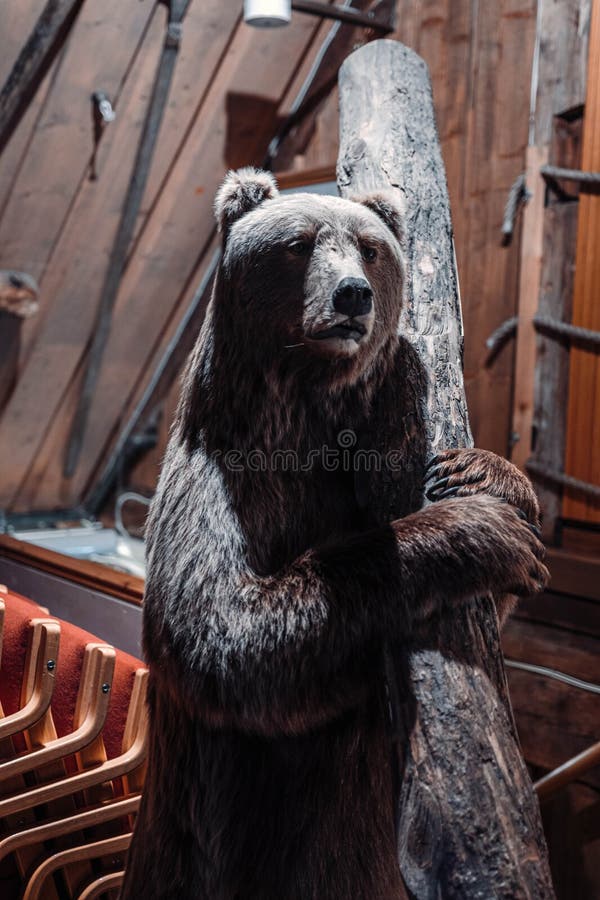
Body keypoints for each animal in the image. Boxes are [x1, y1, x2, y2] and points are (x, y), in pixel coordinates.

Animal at [120, 168, 547, 900]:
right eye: (299, 243)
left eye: (370, 249)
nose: (353, 295)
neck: (303, 407)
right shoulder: (218, 486)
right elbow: (223, 631)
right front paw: (485, 530)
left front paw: (496, 482)